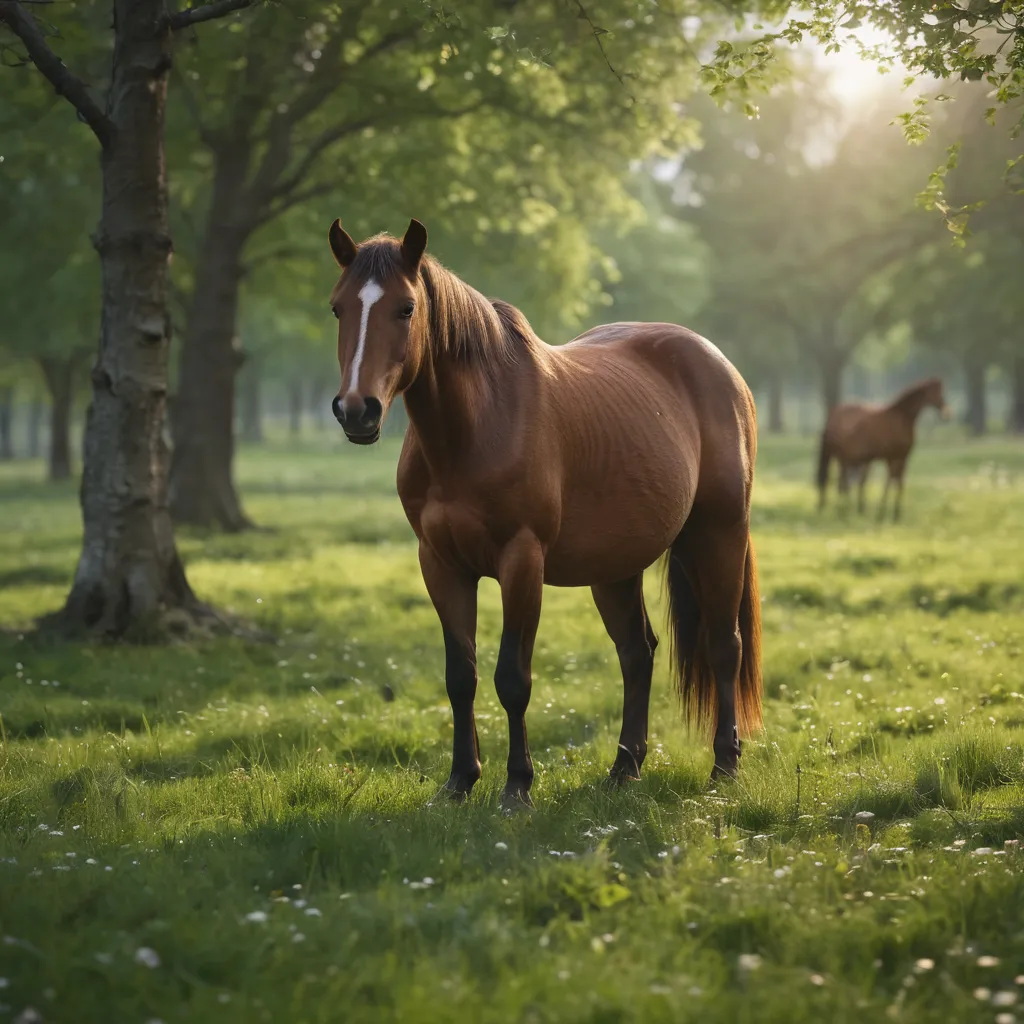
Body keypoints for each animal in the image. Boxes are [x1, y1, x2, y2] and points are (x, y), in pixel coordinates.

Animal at [326, 218, 762, 808]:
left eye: (406, 308)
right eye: (337, 308)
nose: (356, 411)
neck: (472, 429)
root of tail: (720, 366)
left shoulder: (521, 561)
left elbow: (513, 677)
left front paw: (517, 787)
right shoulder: (440, 564)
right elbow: (460, 676)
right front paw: (459, 781)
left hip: (717, 535)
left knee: (723, 647)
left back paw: (724, 767)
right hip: (615, 566)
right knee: (637, 652)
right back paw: (625, 767)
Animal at [817, 377, 949, 521]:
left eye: (940, 390)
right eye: (936, 391)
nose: (946, 412)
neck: (901, 418)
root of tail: (832, 416)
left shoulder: (897, 458)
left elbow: (894, 482)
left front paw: (890, 513)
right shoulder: (897, 457)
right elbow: (893, 483)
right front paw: (888, 514)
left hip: (845, 459)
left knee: (842, 483)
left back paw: (844, 510)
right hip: (844, 458)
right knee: (843, 482)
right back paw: (844, 510)